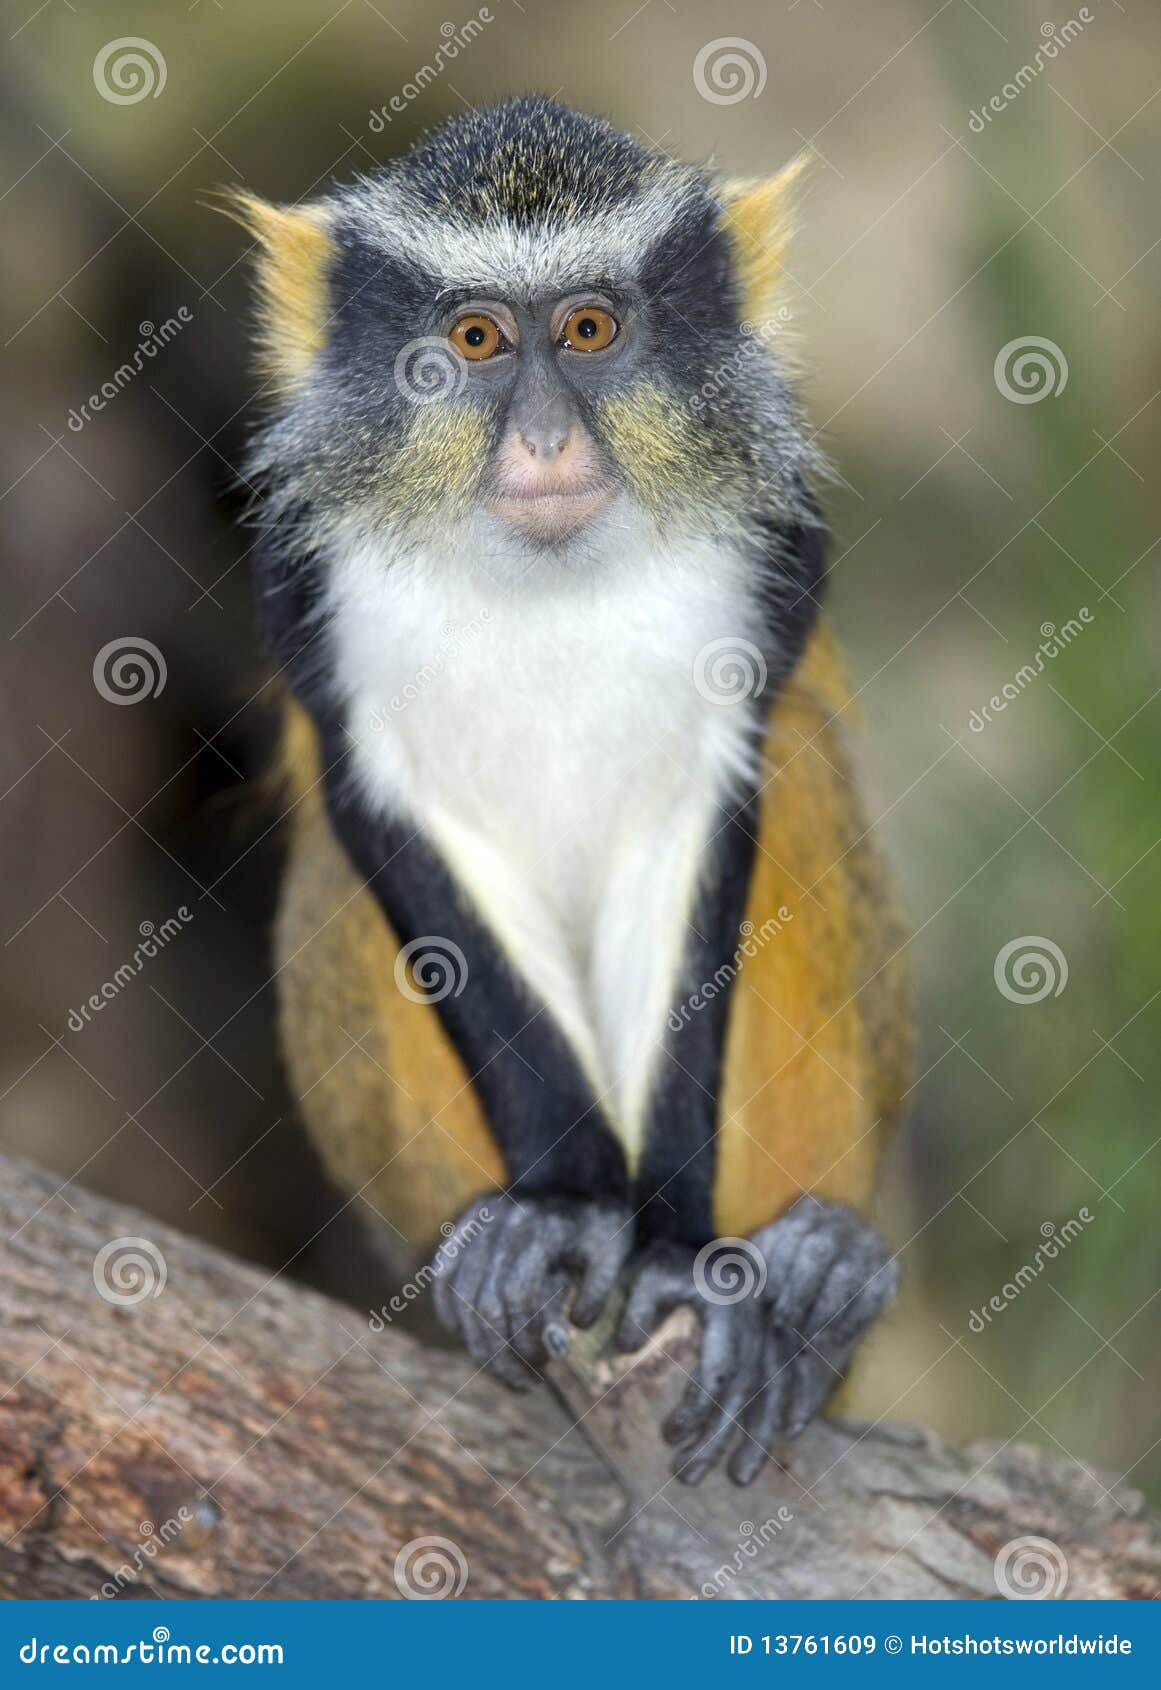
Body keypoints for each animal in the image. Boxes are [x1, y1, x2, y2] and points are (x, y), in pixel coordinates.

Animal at [230, 96, 911, 1488]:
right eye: (475, 340)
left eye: (592, 330)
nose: (546, 439)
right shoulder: (302, 579)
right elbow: (386, 822)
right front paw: (555, 1213)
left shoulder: (774, 546)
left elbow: (715, 800)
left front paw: (669, 1251)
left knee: (807, 761)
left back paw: (817, 1284)